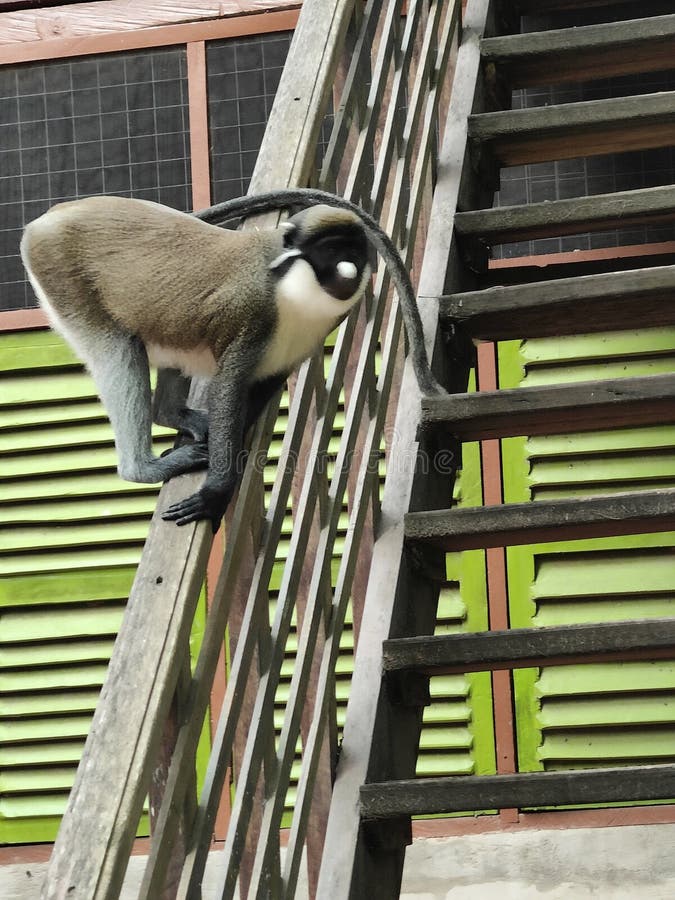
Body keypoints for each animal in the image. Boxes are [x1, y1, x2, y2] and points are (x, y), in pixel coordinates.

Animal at [20, 189, 443, 532]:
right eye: (329, 252)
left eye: (354, 251)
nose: (349, 270)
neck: (292, 284)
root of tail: (56, 215)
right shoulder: (251, 314)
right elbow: (229, 385)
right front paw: (217, 491)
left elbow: (266, 383)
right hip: (61, 272)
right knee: (118, 348)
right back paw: (142, 468)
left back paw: (170, 414)